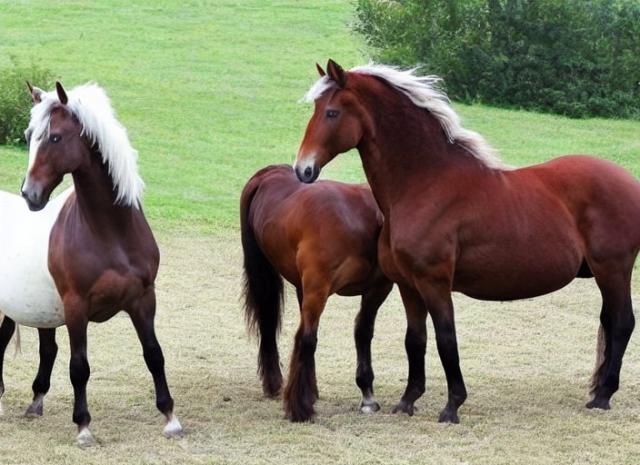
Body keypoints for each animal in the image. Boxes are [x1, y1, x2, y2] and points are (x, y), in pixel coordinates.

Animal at [9, 81, 184, 445]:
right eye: (30, 134)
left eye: (55, 137)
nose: (30, 195)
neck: (111, 234)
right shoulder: (76, 308)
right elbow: (80, 367)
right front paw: (84, 426)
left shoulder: (144, 299)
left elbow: (154, 354)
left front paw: (171, 418)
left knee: (46, 350)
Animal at [240, 164, 393, 422]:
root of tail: (270, 173)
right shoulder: (317, 287)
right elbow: (307, 339)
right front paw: (298, 408)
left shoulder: (377, 289)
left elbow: (363, 333)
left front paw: (367, 396)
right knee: (270, 323)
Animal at [294, 60, 640, 423]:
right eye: (317, 108)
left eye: (332, 112)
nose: (303, 169)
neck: (424, 183)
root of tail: (630, 181)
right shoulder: (408, 285)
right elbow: (415, 340)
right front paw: (408, 400)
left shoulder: (434, 281)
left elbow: (446, 339)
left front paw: (452, 406)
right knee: (610, 322)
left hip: (613, 270)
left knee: (622, 323)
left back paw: (603, 395)